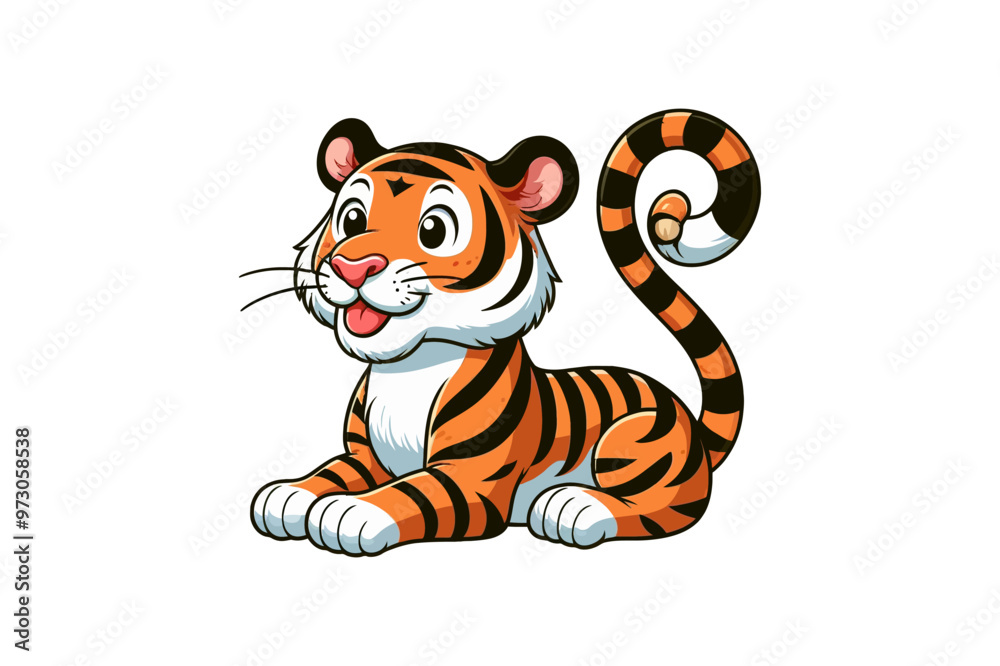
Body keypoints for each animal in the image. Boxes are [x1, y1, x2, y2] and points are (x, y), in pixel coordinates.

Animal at [250, 110, 761, 555]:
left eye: (433, 229)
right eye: (352, 218)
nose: (353, 267)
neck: (410, 368)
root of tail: (693, 425)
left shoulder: (468, 479)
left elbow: (408, 493)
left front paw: (350, 512)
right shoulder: (366, 457)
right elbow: (332, 471)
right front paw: (289, 494)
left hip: (636, 436)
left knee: (660, 508)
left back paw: (573, 506)